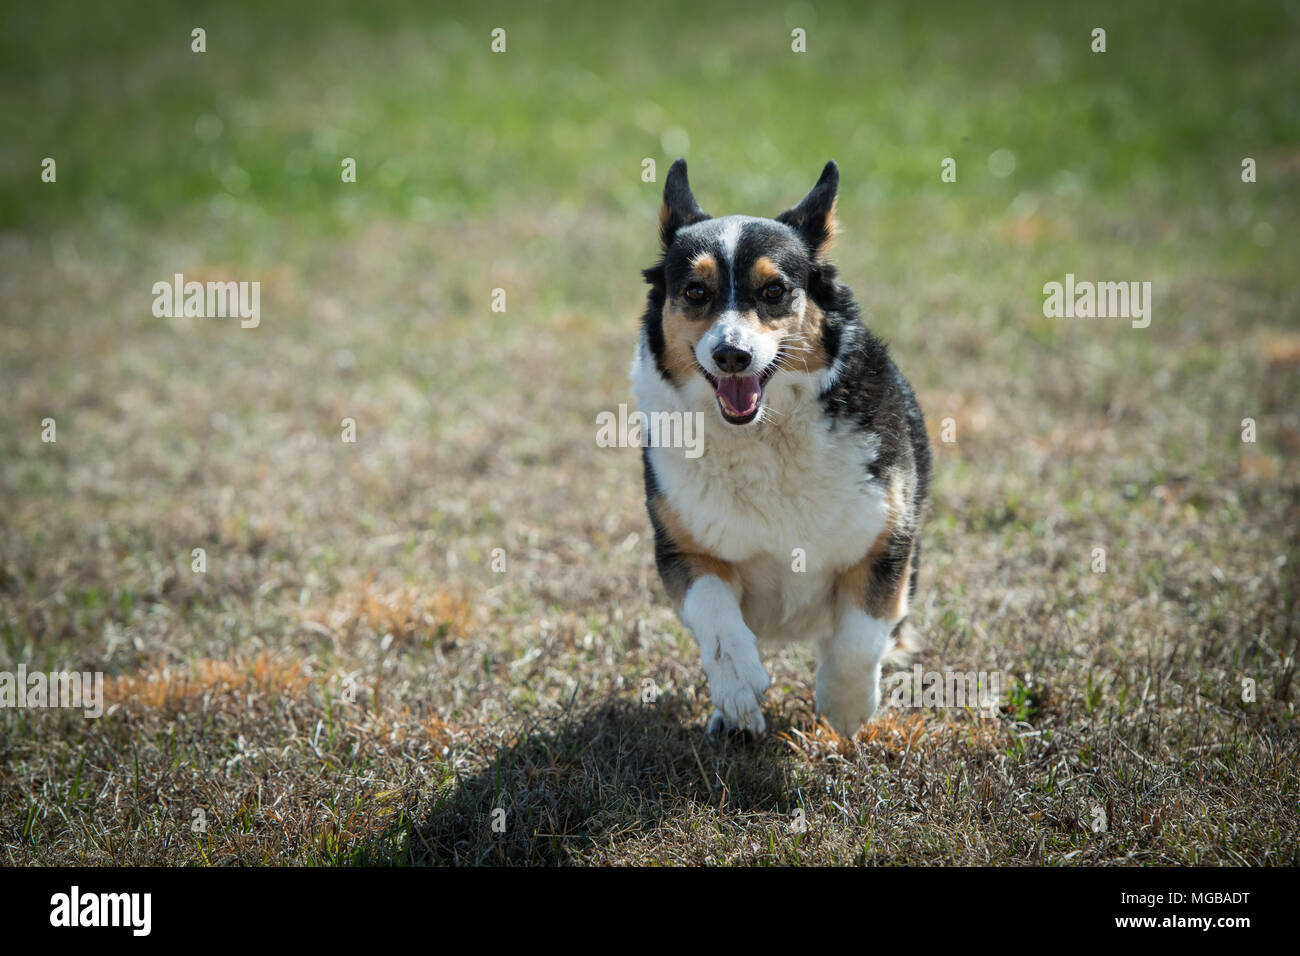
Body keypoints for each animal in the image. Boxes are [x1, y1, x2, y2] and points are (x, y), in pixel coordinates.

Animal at [631, 160, 930, 738]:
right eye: (695, 292)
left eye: (773, 290)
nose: (732, 355)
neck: (764, 432)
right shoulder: (683, 549)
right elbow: (716, 619)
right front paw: (738, 692)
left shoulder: (887, 538)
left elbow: (860, 637)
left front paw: (845, 707)